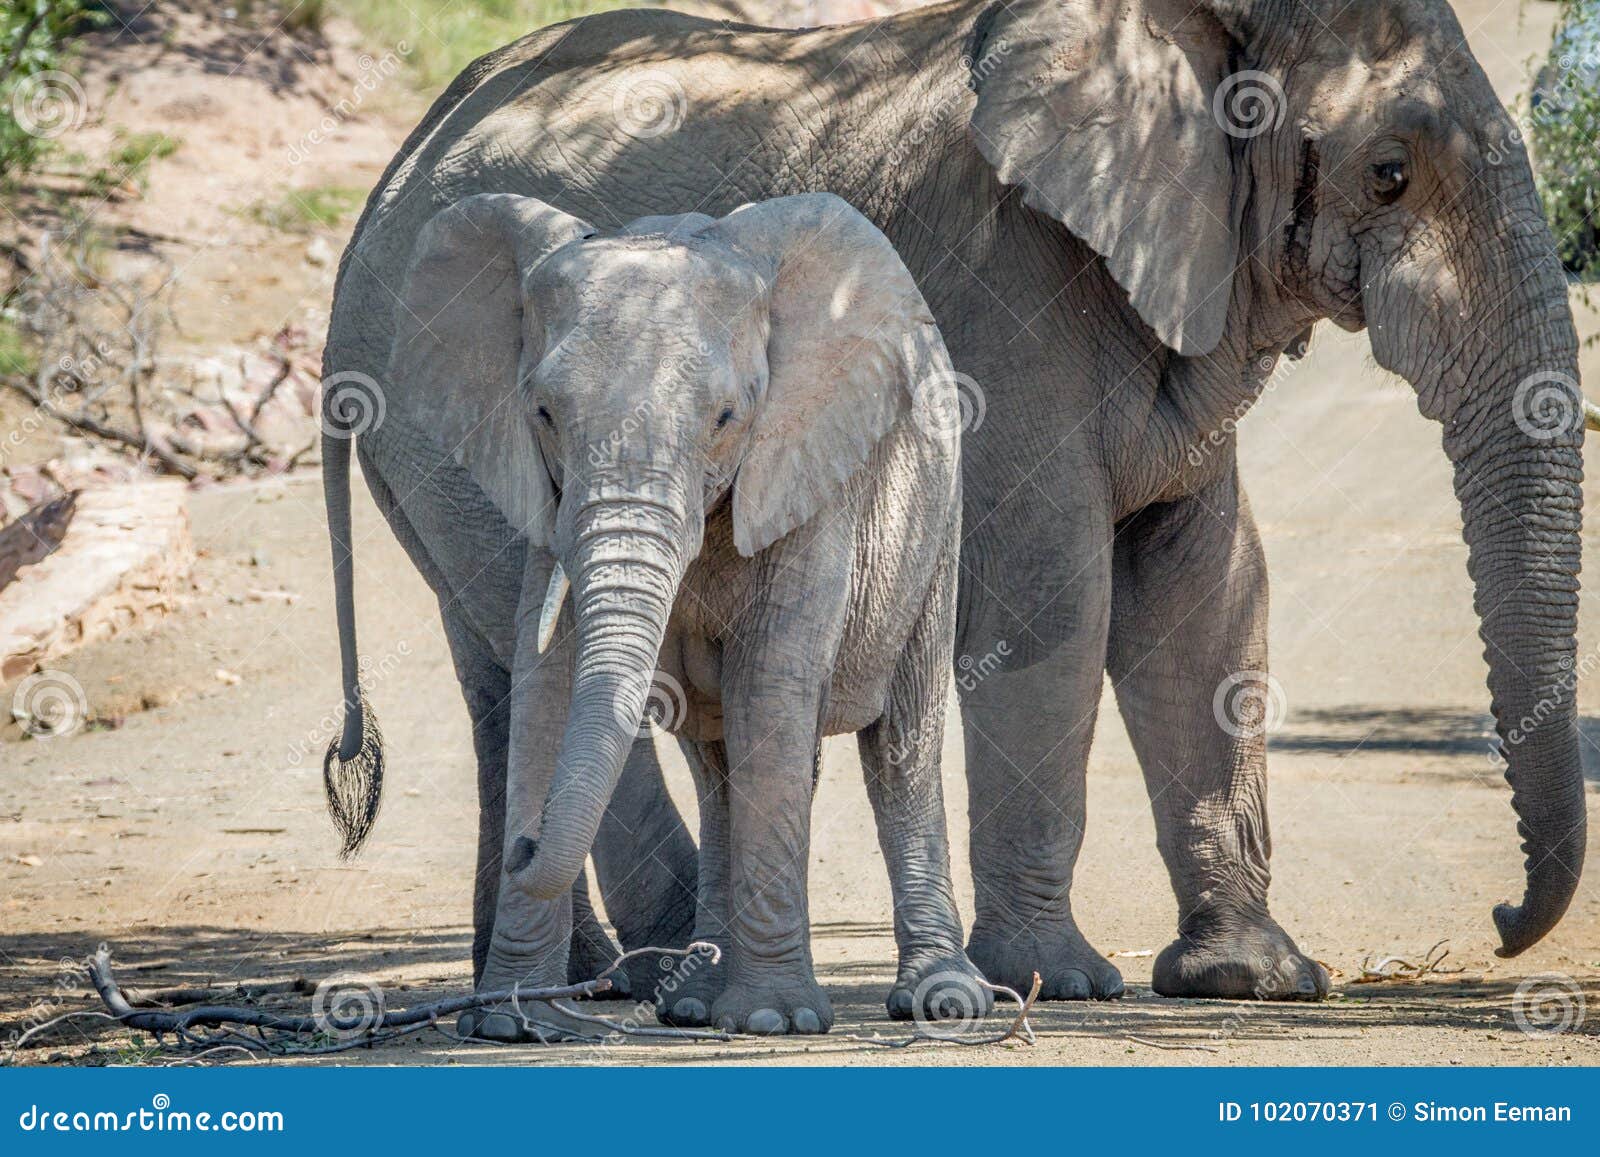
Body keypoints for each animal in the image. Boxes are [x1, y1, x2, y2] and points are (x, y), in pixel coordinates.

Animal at [320, 0, 1587, 1011]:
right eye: (1389, 172)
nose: (1498, 925)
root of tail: (389, 175)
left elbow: (1206, 601)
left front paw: (1248, 977)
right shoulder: (1012, 292)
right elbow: (1051, 605)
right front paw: (1060, 981)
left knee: (501, 665)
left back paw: (568, 974)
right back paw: (660, 970)